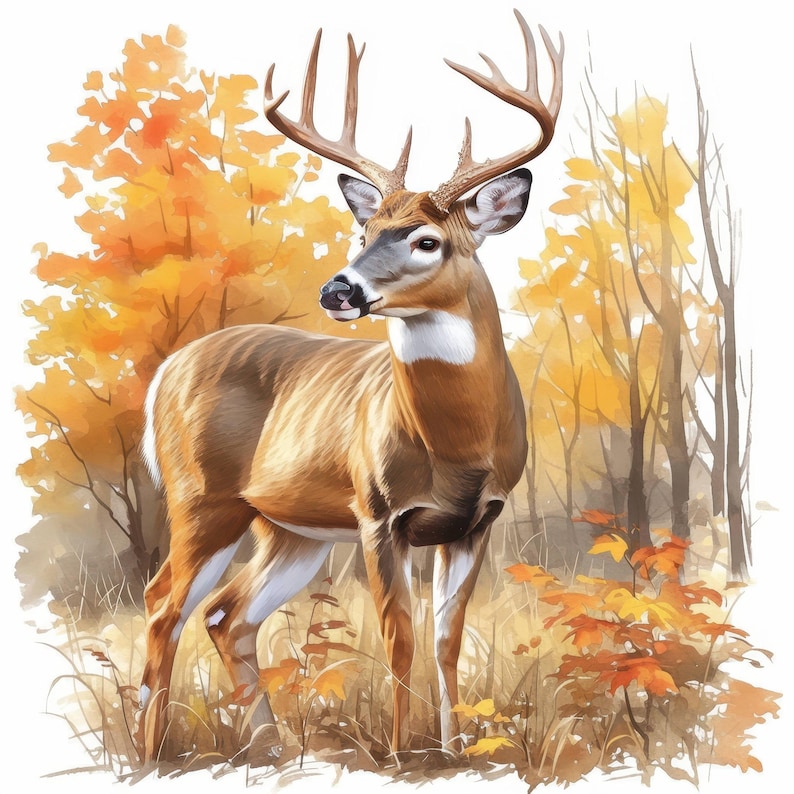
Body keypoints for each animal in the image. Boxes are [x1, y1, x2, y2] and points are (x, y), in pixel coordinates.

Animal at [136, 8, 562, 764]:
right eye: (364, 231)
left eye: (426, 240)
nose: (339, 290)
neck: (457, 447)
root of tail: (163, 374)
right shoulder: (377, 510)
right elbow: (398, 637)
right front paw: (398, 755)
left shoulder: (479, 520)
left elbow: (446, 641)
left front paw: (454, 753)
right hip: (201, 499)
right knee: (163, 605)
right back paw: (151, 755)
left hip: (287, 528)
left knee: (225, 614)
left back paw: (270, 749)